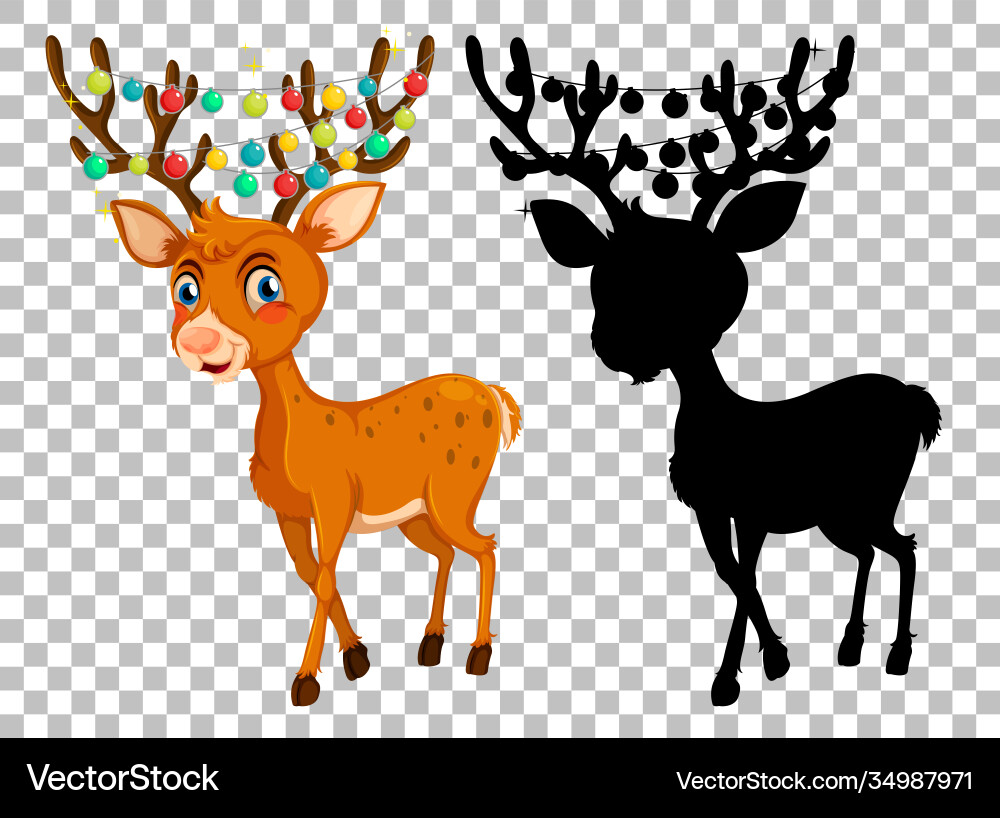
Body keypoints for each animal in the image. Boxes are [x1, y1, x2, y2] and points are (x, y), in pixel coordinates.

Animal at [49, 34, 522, 706]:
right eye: (186, 286)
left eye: (267, 285)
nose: (198, 340)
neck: (296, 443)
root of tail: (494, 396)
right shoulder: (288, 511)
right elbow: (311, 576)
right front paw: (355, 659)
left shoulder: (333, 498)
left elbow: (323, 576)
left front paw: (307, 681)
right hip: (416, 511)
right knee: (449, 552)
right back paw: (431, 645)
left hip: (456, 488)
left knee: (485, 545)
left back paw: (478, 655)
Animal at [467, 35, 941, 705]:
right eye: (607, 279)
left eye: (704, 276)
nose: (621, 346)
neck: (715, 423)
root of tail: (913, 400)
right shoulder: (730, 507)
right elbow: (736, 573)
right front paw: (759, 666)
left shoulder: (742, 503)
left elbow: (740, 574)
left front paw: (746, 672)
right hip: (837, 510)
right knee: (875, 552)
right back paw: (850, 646)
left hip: (871, 493)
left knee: (904, 547)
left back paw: (897, 654)